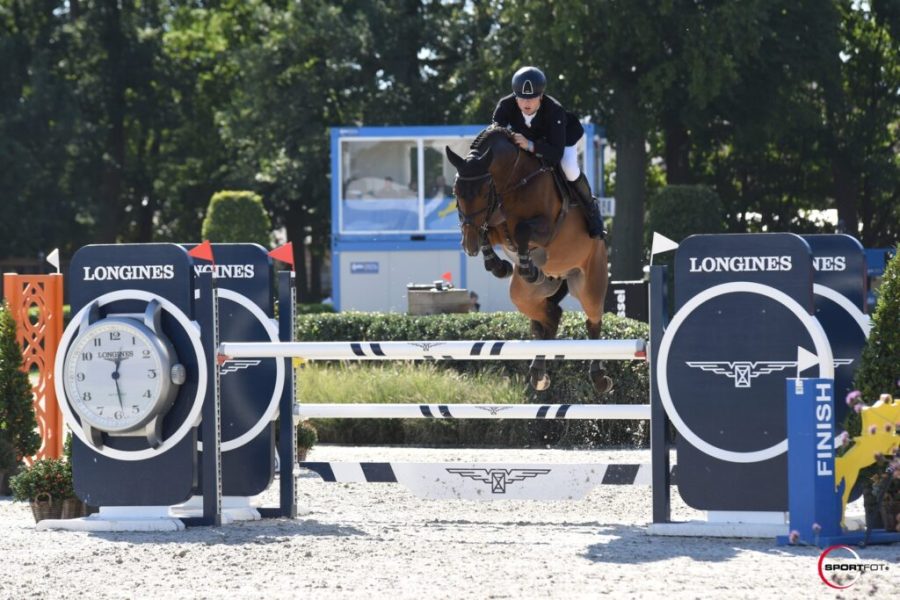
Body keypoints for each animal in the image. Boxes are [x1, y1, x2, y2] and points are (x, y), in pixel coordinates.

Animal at [445, 124, 613, 394]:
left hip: (590, 284)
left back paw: (598, 378)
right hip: (526, 294)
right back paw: (538, 373)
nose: (468, 246)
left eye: (483, 191)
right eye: (456, 191)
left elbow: (523, 230)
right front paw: (498, 265)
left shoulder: (547, 229)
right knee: (551, 316)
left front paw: (524, 267)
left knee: (593, 321)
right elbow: (487, 233)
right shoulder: (495, 228)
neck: (512, 180)